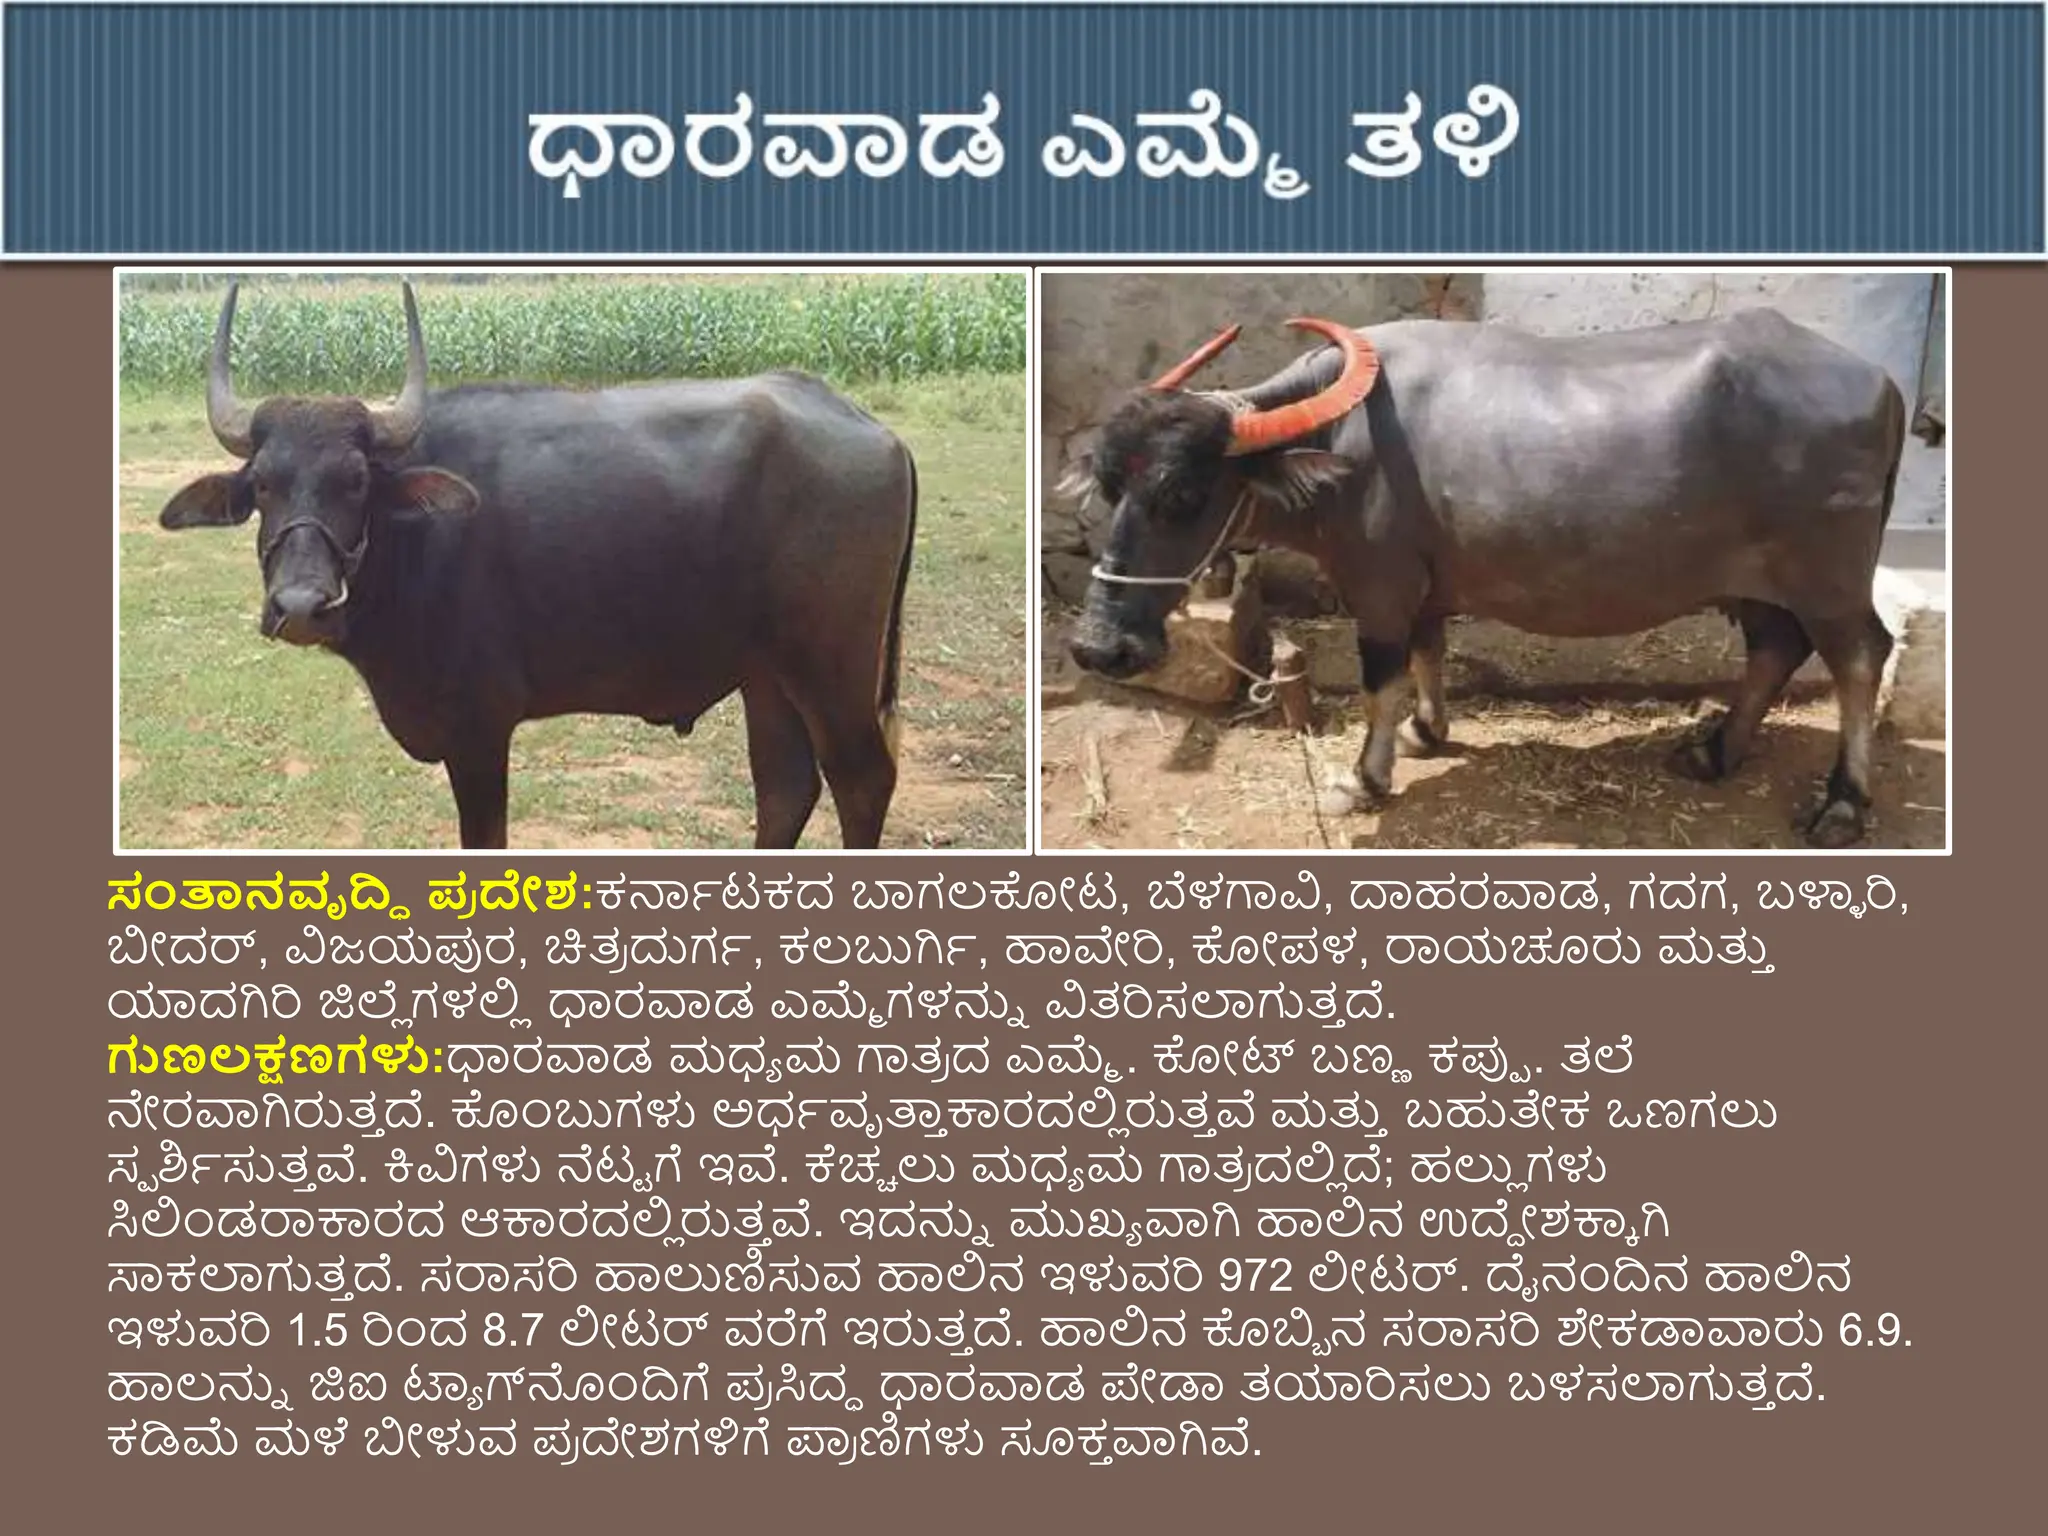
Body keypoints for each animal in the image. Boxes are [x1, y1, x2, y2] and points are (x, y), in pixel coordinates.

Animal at [156, 282, 918, 850]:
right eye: (263, 484)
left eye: (357, 482)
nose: (304, 606)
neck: (415, 545)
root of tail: (872, 429)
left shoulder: (479, 730)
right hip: (766, 674)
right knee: (785, 787)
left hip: (833, 669)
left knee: (861, 781)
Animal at [1059, 311, 1908, 848]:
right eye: (1108, 484)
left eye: (1183, 495)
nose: (1099, 648)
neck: (1342, 445)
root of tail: (1884, 385)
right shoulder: (1422, 586)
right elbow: (1429, 655)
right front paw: (1428, 731)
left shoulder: (1378, 586)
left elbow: (1381, 678)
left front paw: (1364, 779)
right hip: (1761, 584)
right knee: (1776, 648)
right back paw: (1714, 751)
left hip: (1828, 578)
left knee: (1860, 656)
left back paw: (1842, 803)